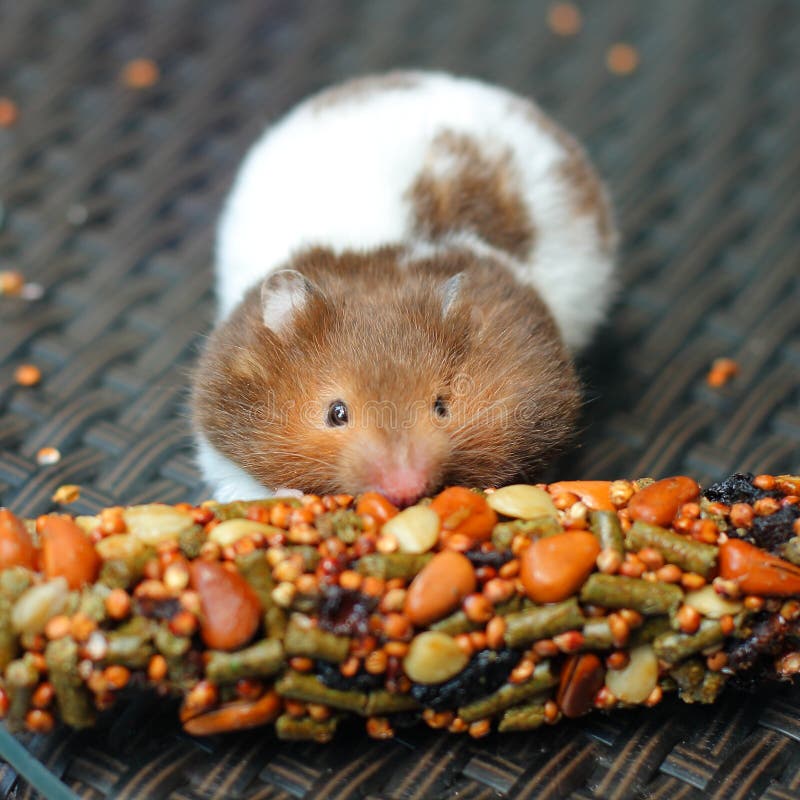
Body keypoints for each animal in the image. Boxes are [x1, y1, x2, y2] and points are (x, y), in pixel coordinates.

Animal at [191, 71, 617, 505]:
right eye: (336, 413)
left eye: (442, 406)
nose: (405, 489)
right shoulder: (219, 438)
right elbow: (246, 485)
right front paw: (291, 494)